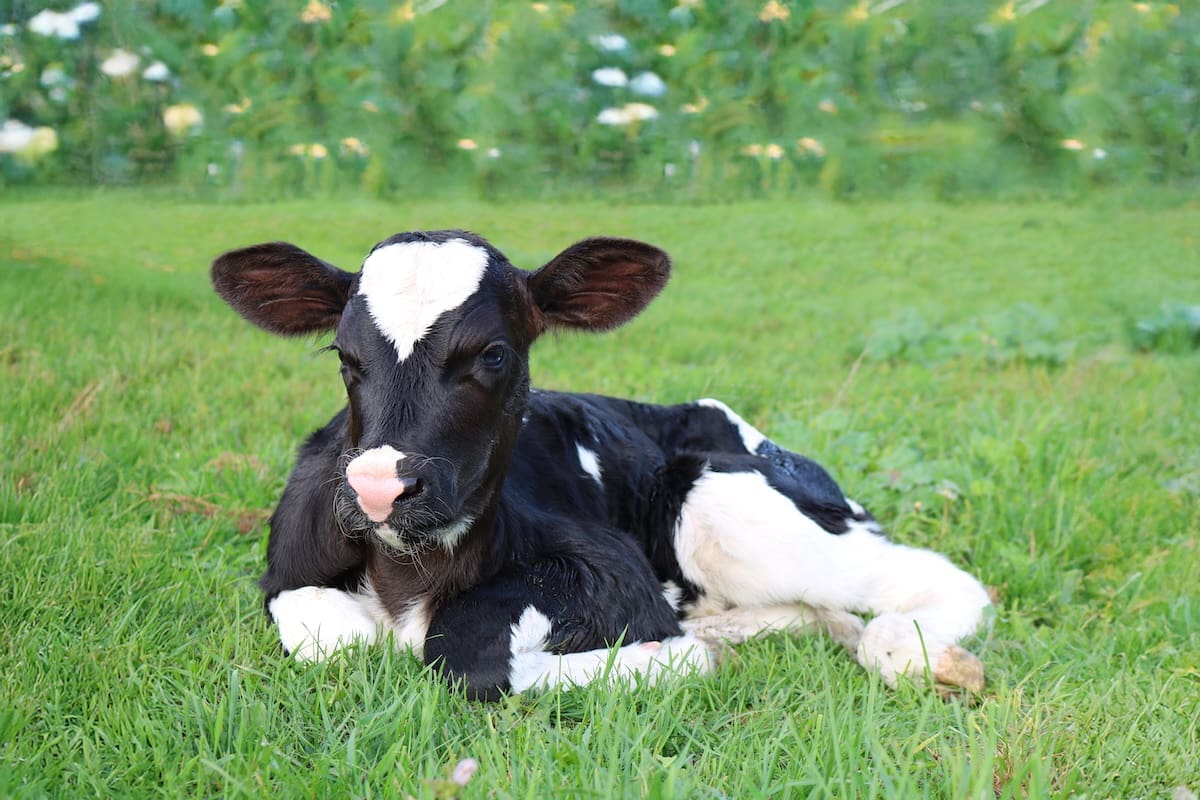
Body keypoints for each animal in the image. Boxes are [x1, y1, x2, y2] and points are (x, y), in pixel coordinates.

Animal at [211, 230, 990, 701]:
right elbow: (334, 634)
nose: (378, 487)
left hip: (722, 502)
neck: (410, 576)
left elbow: (473, 658)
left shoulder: (609, 570)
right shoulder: (290, 570)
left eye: (494, 354)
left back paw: (911, 651)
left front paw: (684, 654)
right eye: (343, 355)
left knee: (933, 583)